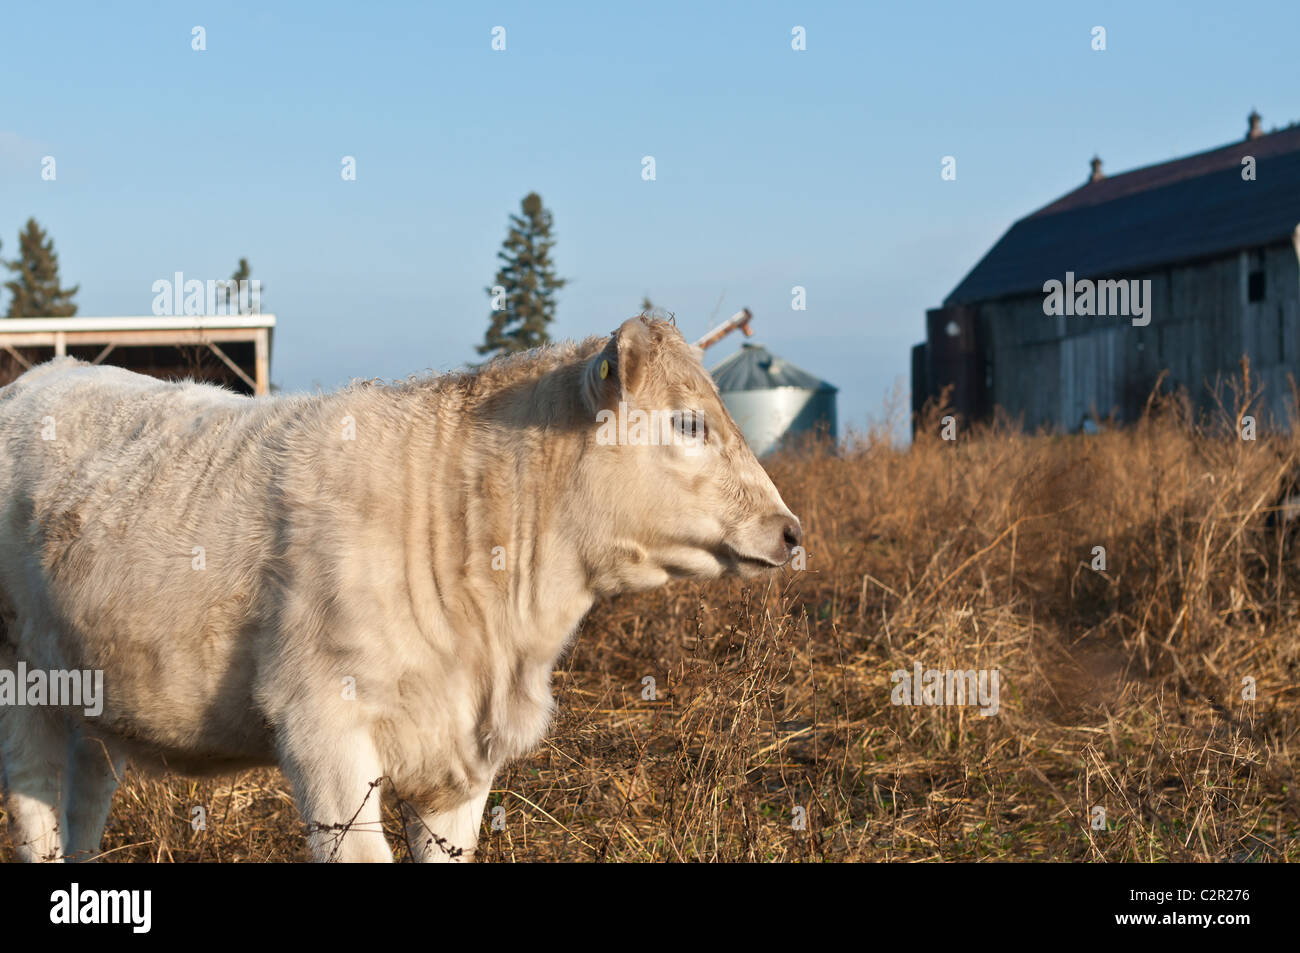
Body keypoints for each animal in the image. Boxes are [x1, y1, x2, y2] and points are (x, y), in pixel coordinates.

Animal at [0, 316, 801, 862]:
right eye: (688, 421)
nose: (790, 530)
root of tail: (49, 373)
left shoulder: (464, 763)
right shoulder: (323, 729)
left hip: (91, 702)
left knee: (81, 806)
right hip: (21, 687)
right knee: (35, 810)